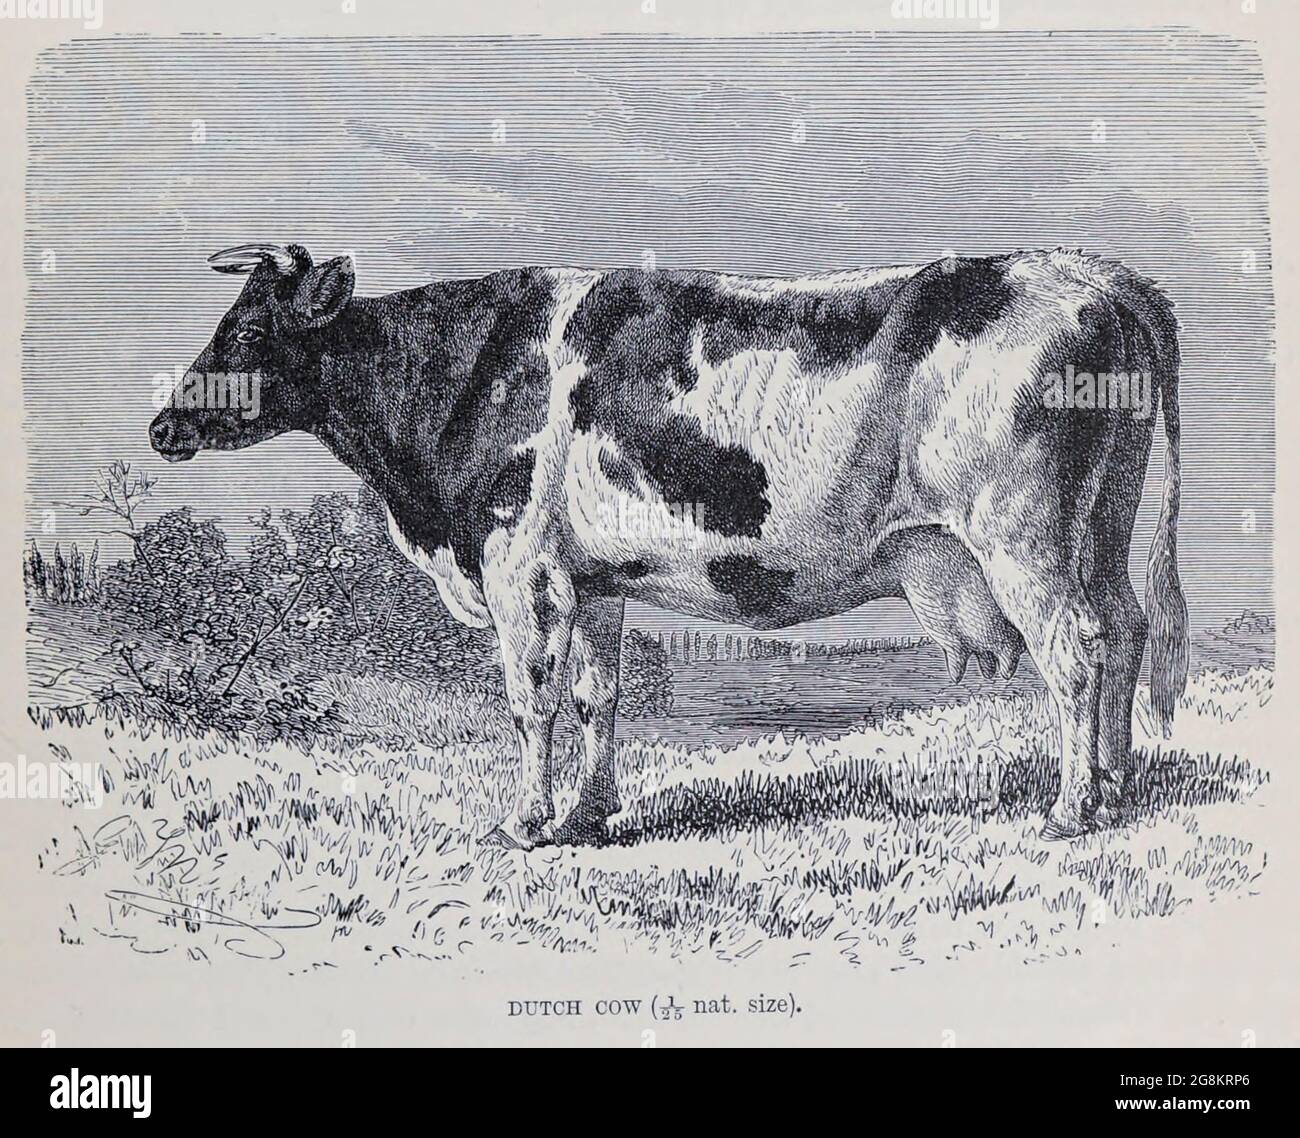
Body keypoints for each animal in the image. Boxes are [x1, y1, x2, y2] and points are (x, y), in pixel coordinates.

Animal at [150, 242, 1188, 848]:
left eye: (248, 330)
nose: (163, 426)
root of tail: (1095, 276)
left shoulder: (518, 563)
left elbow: (530, 702)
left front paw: (528, 822)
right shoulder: (595, 577)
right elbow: (597, 695)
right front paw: (592, 812)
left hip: (1024, 539)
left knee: (1076, 653)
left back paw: (1071, 809)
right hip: (1102, 524)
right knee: (1128, 628)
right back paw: (1117, 788)